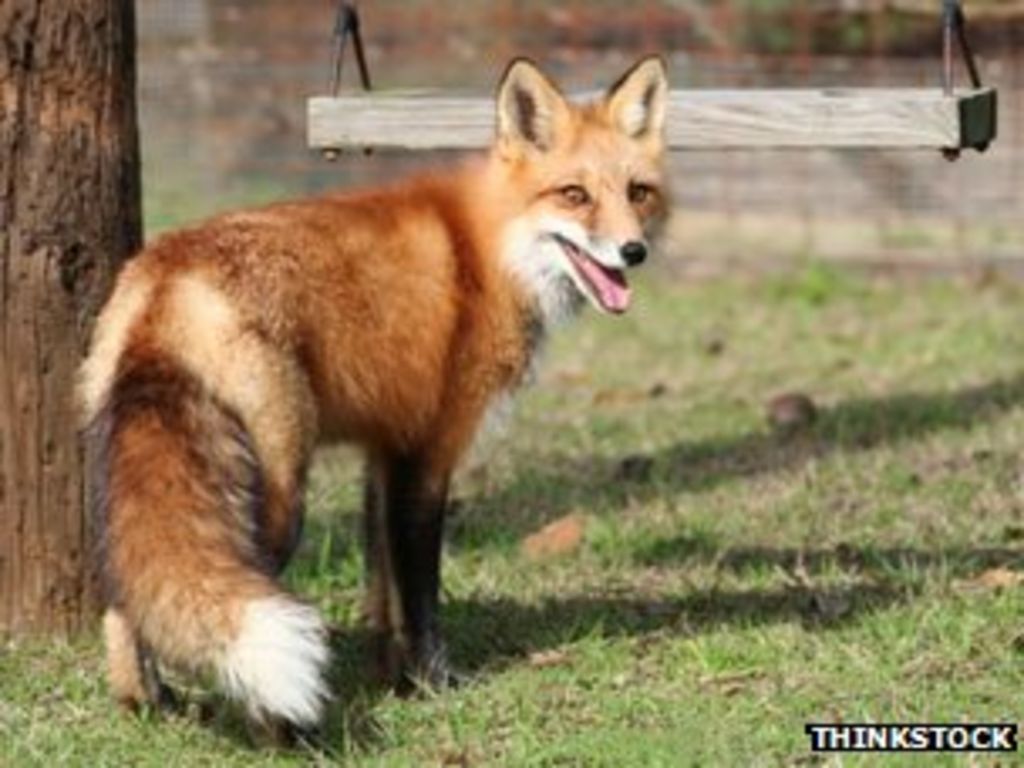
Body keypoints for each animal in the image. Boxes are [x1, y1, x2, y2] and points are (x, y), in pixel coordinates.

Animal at [79, 55, 670, 732]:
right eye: (575, 195)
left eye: (638, 192)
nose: (633, 250)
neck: (486, 251)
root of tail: (169, 281)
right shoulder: (429, 452)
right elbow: (419, 593)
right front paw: (437, 681)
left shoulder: (385, 446)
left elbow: (381, 588)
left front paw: (393, 680)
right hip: (280, 494)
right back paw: (278, 730)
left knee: (124, 597)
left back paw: (147, 704)